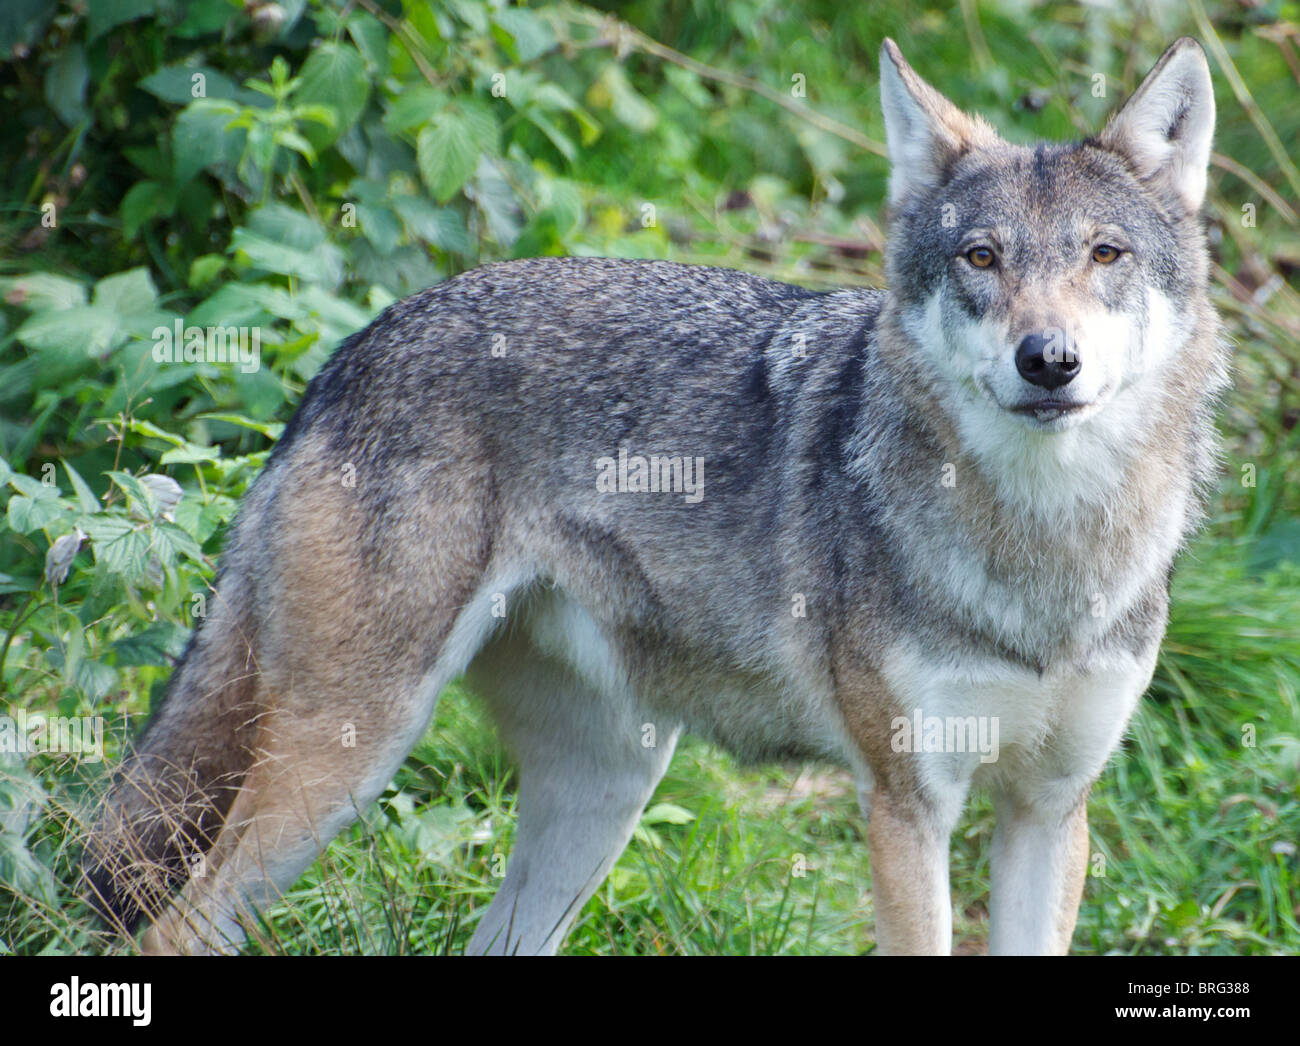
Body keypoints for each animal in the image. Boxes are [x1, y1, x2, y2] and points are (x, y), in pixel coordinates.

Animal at [83, 37, 1224, 955]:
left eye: (1106, 255)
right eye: (981, 257)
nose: (1049, 360)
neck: (1046, 551)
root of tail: (349, 349)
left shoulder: (1050, 810)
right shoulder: (908, 809)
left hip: (605, 792)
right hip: (348, 757)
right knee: (173, 930)